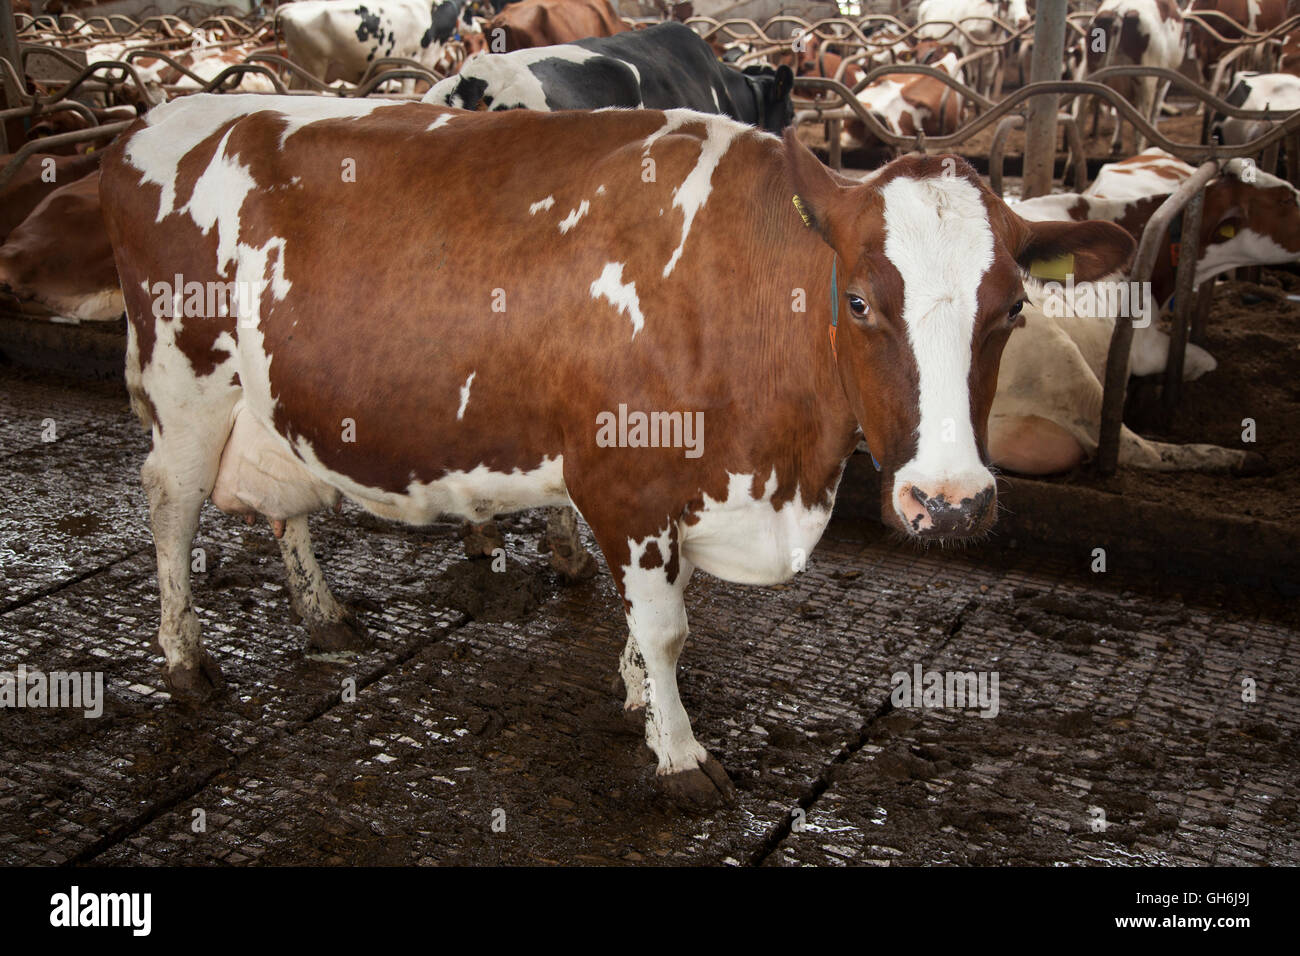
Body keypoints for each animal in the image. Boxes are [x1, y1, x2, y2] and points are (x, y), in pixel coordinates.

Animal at [99, 94, 1132, 803]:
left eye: (1013, 309)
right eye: (861, 301)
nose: (949, 501)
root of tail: (159, 120)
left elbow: (663, 614)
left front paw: (638, 693)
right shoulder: (623, 480)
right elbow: (669, 624)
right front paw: (679, 754)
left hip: (272, 398)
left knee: (286, 504)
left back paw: (324, 616)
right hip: (189, 384)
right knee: (169, 501)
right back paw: (185, 661)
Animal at [1081, 0, 1184, 153]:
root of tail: (1120, 11)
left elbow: (1122, 109)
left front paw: (1116, 144)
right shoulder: (1165, 80)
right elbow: (1155, 109)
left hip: (1091, 72)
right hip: (1147, 79)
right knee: (1144, 118)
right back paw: (1141, 150)